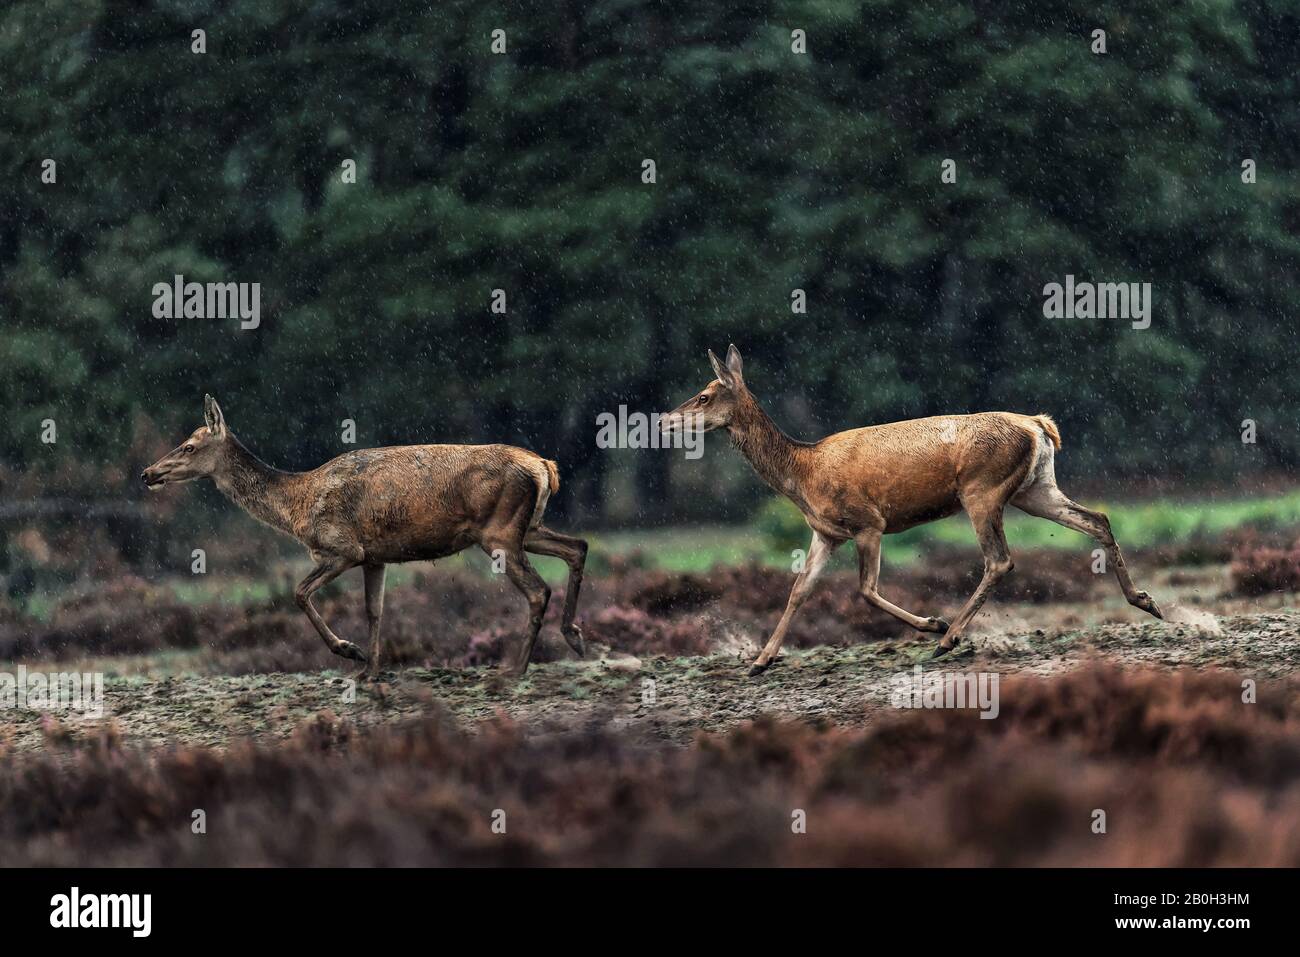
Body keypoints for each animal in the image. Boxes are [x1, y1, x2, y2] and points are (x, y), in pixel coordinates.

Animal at [141, 395, 588, 678]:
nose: (148, 473)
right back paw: (575, 637)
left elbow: (299, 593)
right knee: (577, 547)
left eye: (189, 445)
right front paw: (371, 671)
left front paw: (350, 652)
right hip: (526, 528)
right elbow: (376, 610)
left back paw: (516, 668)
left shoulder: (343, 548)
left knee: (538, 590)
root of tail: (545, 467)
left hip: (499, 533)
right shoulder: (376, 556)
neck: (297, 506)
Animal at [661, 345, 1163, 676]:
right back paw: (1145, 601)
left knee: (1000, 559)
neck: (802, 473)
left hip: (981, 489)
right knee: (1097, 519)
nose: (665, 419)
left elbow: (865, 589)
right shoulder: (826, 532)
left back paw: (947, 638)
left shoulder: (868, 521)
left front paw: (931, 622)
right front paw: (760, 662)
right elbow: (798, 591)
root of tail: (1040, 425)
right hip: (1034, 488)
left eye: (704, 395)